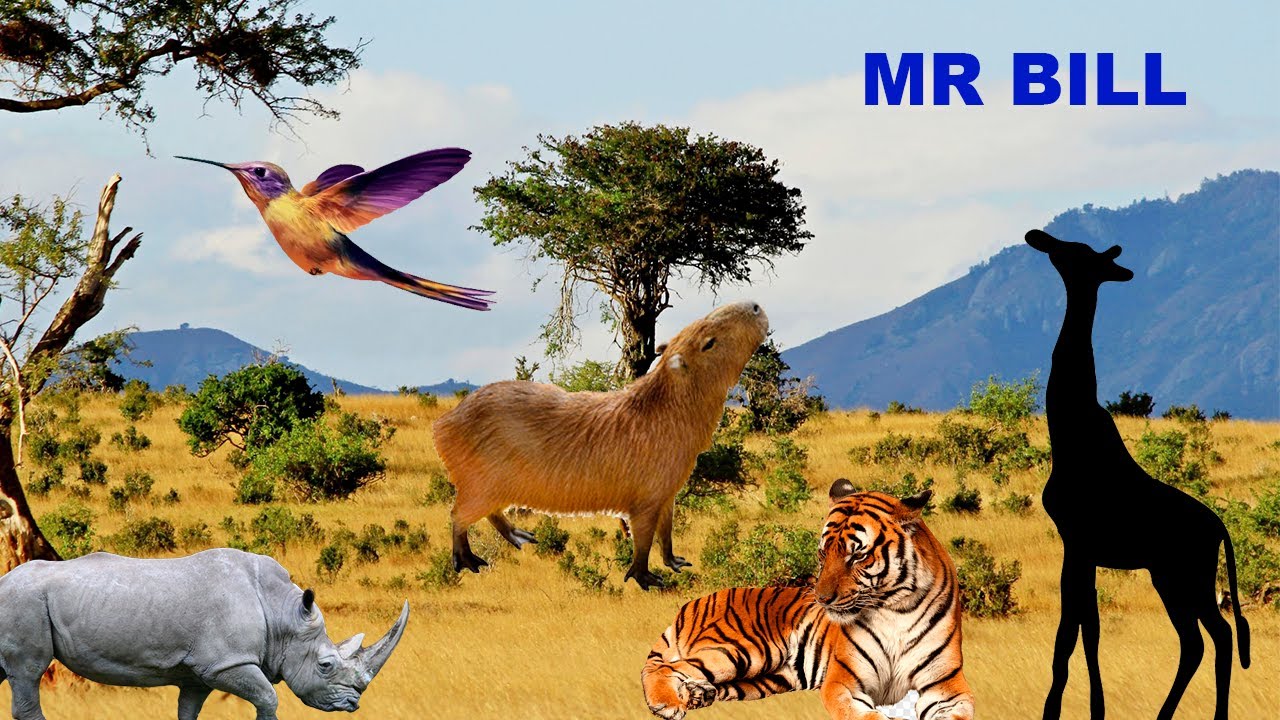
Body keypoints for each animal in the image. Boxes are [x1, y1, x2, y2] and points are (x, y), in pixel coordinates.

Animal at [0, 548, 408, 720]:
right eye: (325, 665)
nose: (352, 704)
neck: (282, 614)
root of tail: (5, 580)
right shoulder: (227, 663)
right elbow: (268, 698)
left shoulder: (198, 673)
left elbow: (188, 710)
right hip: (24, 602)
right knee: (28, 672)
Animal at [1025, 229, 1250, 720]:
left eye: (1071, 251)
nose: (1037, 236)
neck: (1068, 429)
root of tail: (1220, 529)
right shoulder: (1083, 549)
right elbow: (1088, 629)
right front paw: (1096, 709)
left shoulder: (1076, 540)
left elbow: (1068, 634)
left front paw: (1054, 710)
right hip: (1171, 576)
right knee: (1202, 639)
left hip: (1186, 574)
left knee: (1216, 635)